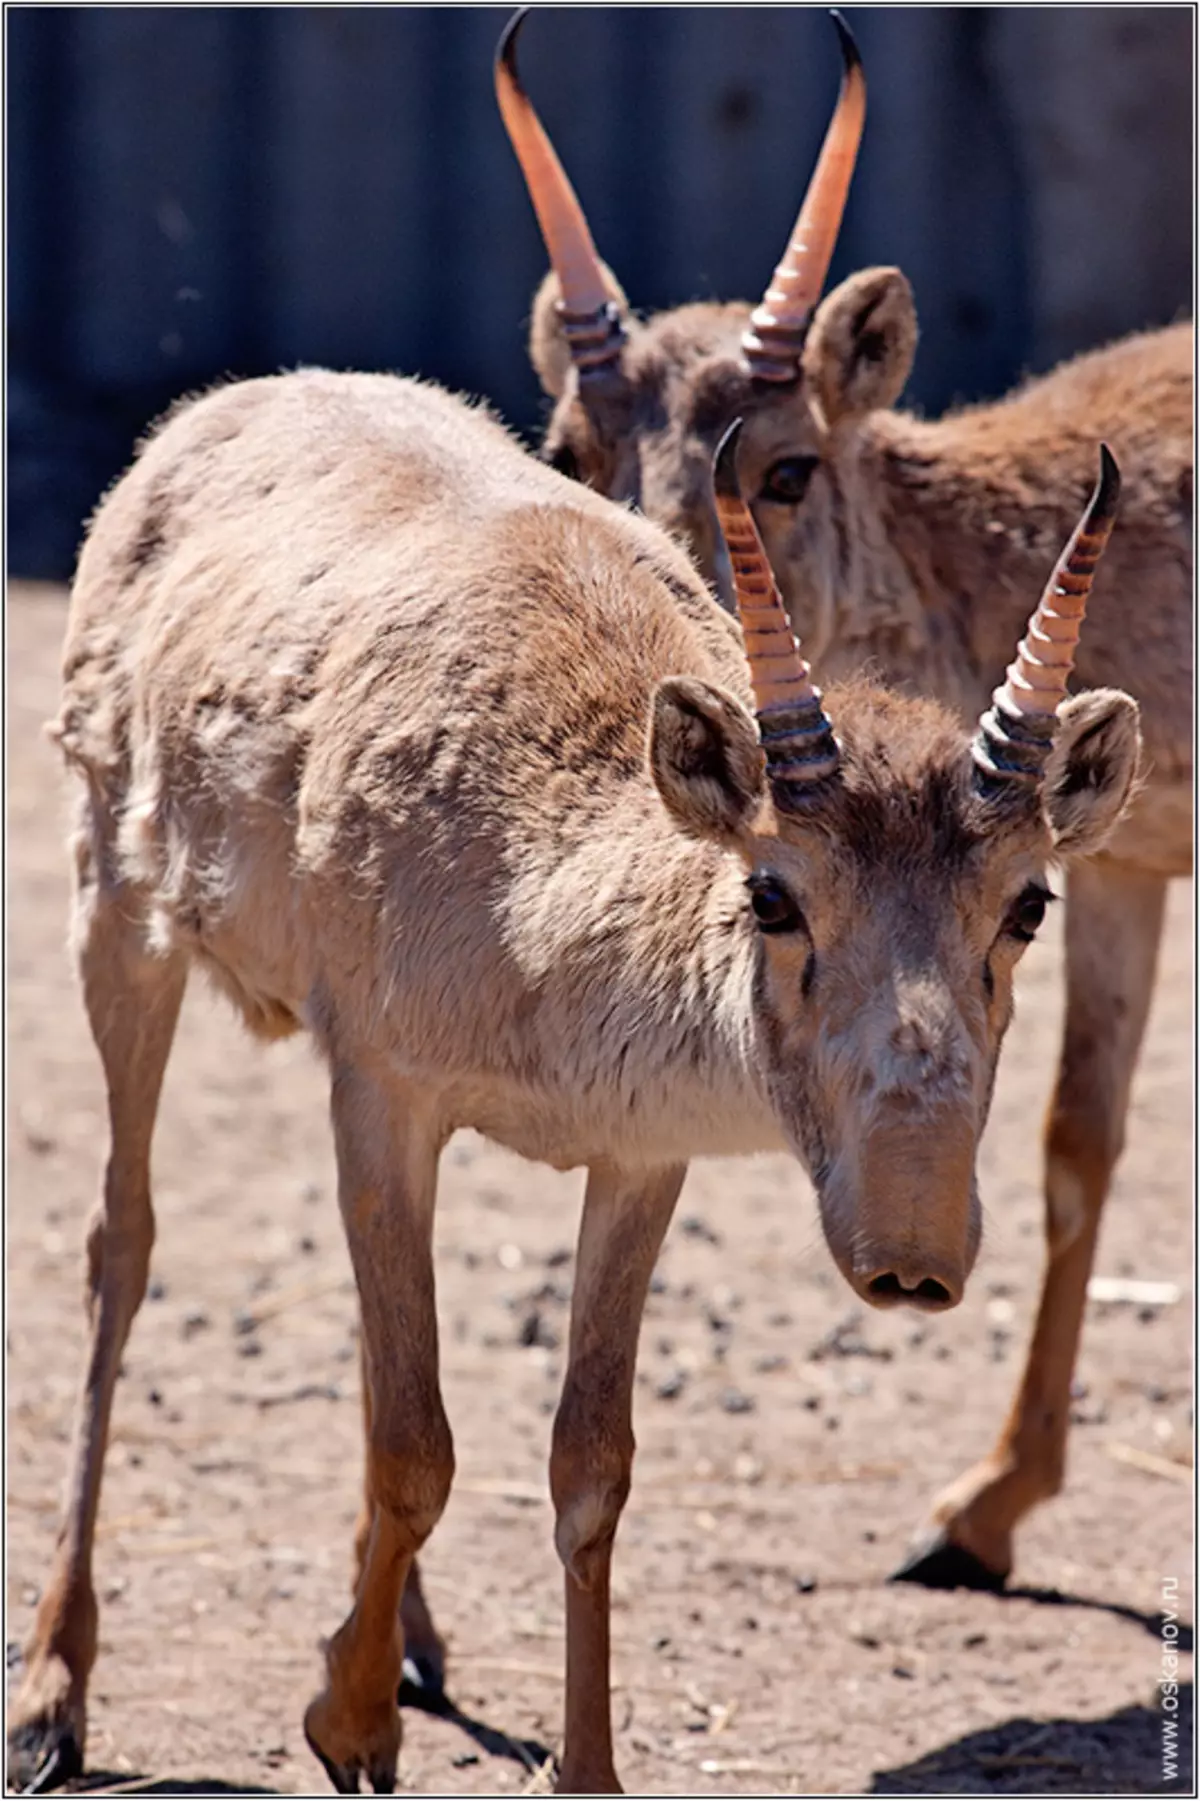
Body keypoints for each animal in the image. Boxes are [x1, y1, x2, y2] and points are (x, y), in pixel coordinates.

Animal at [9, 347, 1131, 1786]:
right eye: (772, 893)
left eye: (1029, 903)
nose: (913, 1253)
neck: (544, 892)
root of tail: (232, 398)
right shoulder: (385, 1089)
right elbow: (416, 1442)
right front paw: (345, 1719)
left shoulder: (640, 1154)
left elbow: (590, 1461)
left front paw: (571, 1758)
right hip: (114, 907)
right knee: (122, 1241)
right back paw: (54, 1693)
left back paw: (417, 1645)